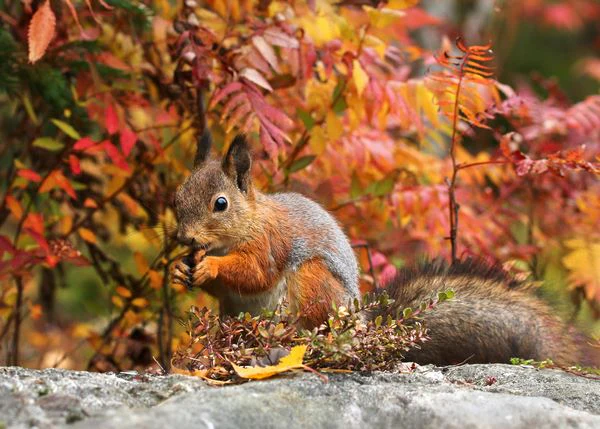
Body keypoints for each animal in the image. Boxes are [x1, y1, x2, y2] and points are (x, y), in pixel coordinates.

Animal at [171, 130, 596, 364]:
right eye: (177, 196)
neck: (247, 223)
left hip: (313, 281)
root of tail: (358, 325)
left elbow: (255, 272)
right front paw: (180, 268)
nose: (184, 238)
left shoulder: (271, 242)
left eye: (221, 204)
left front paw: (209, 266)